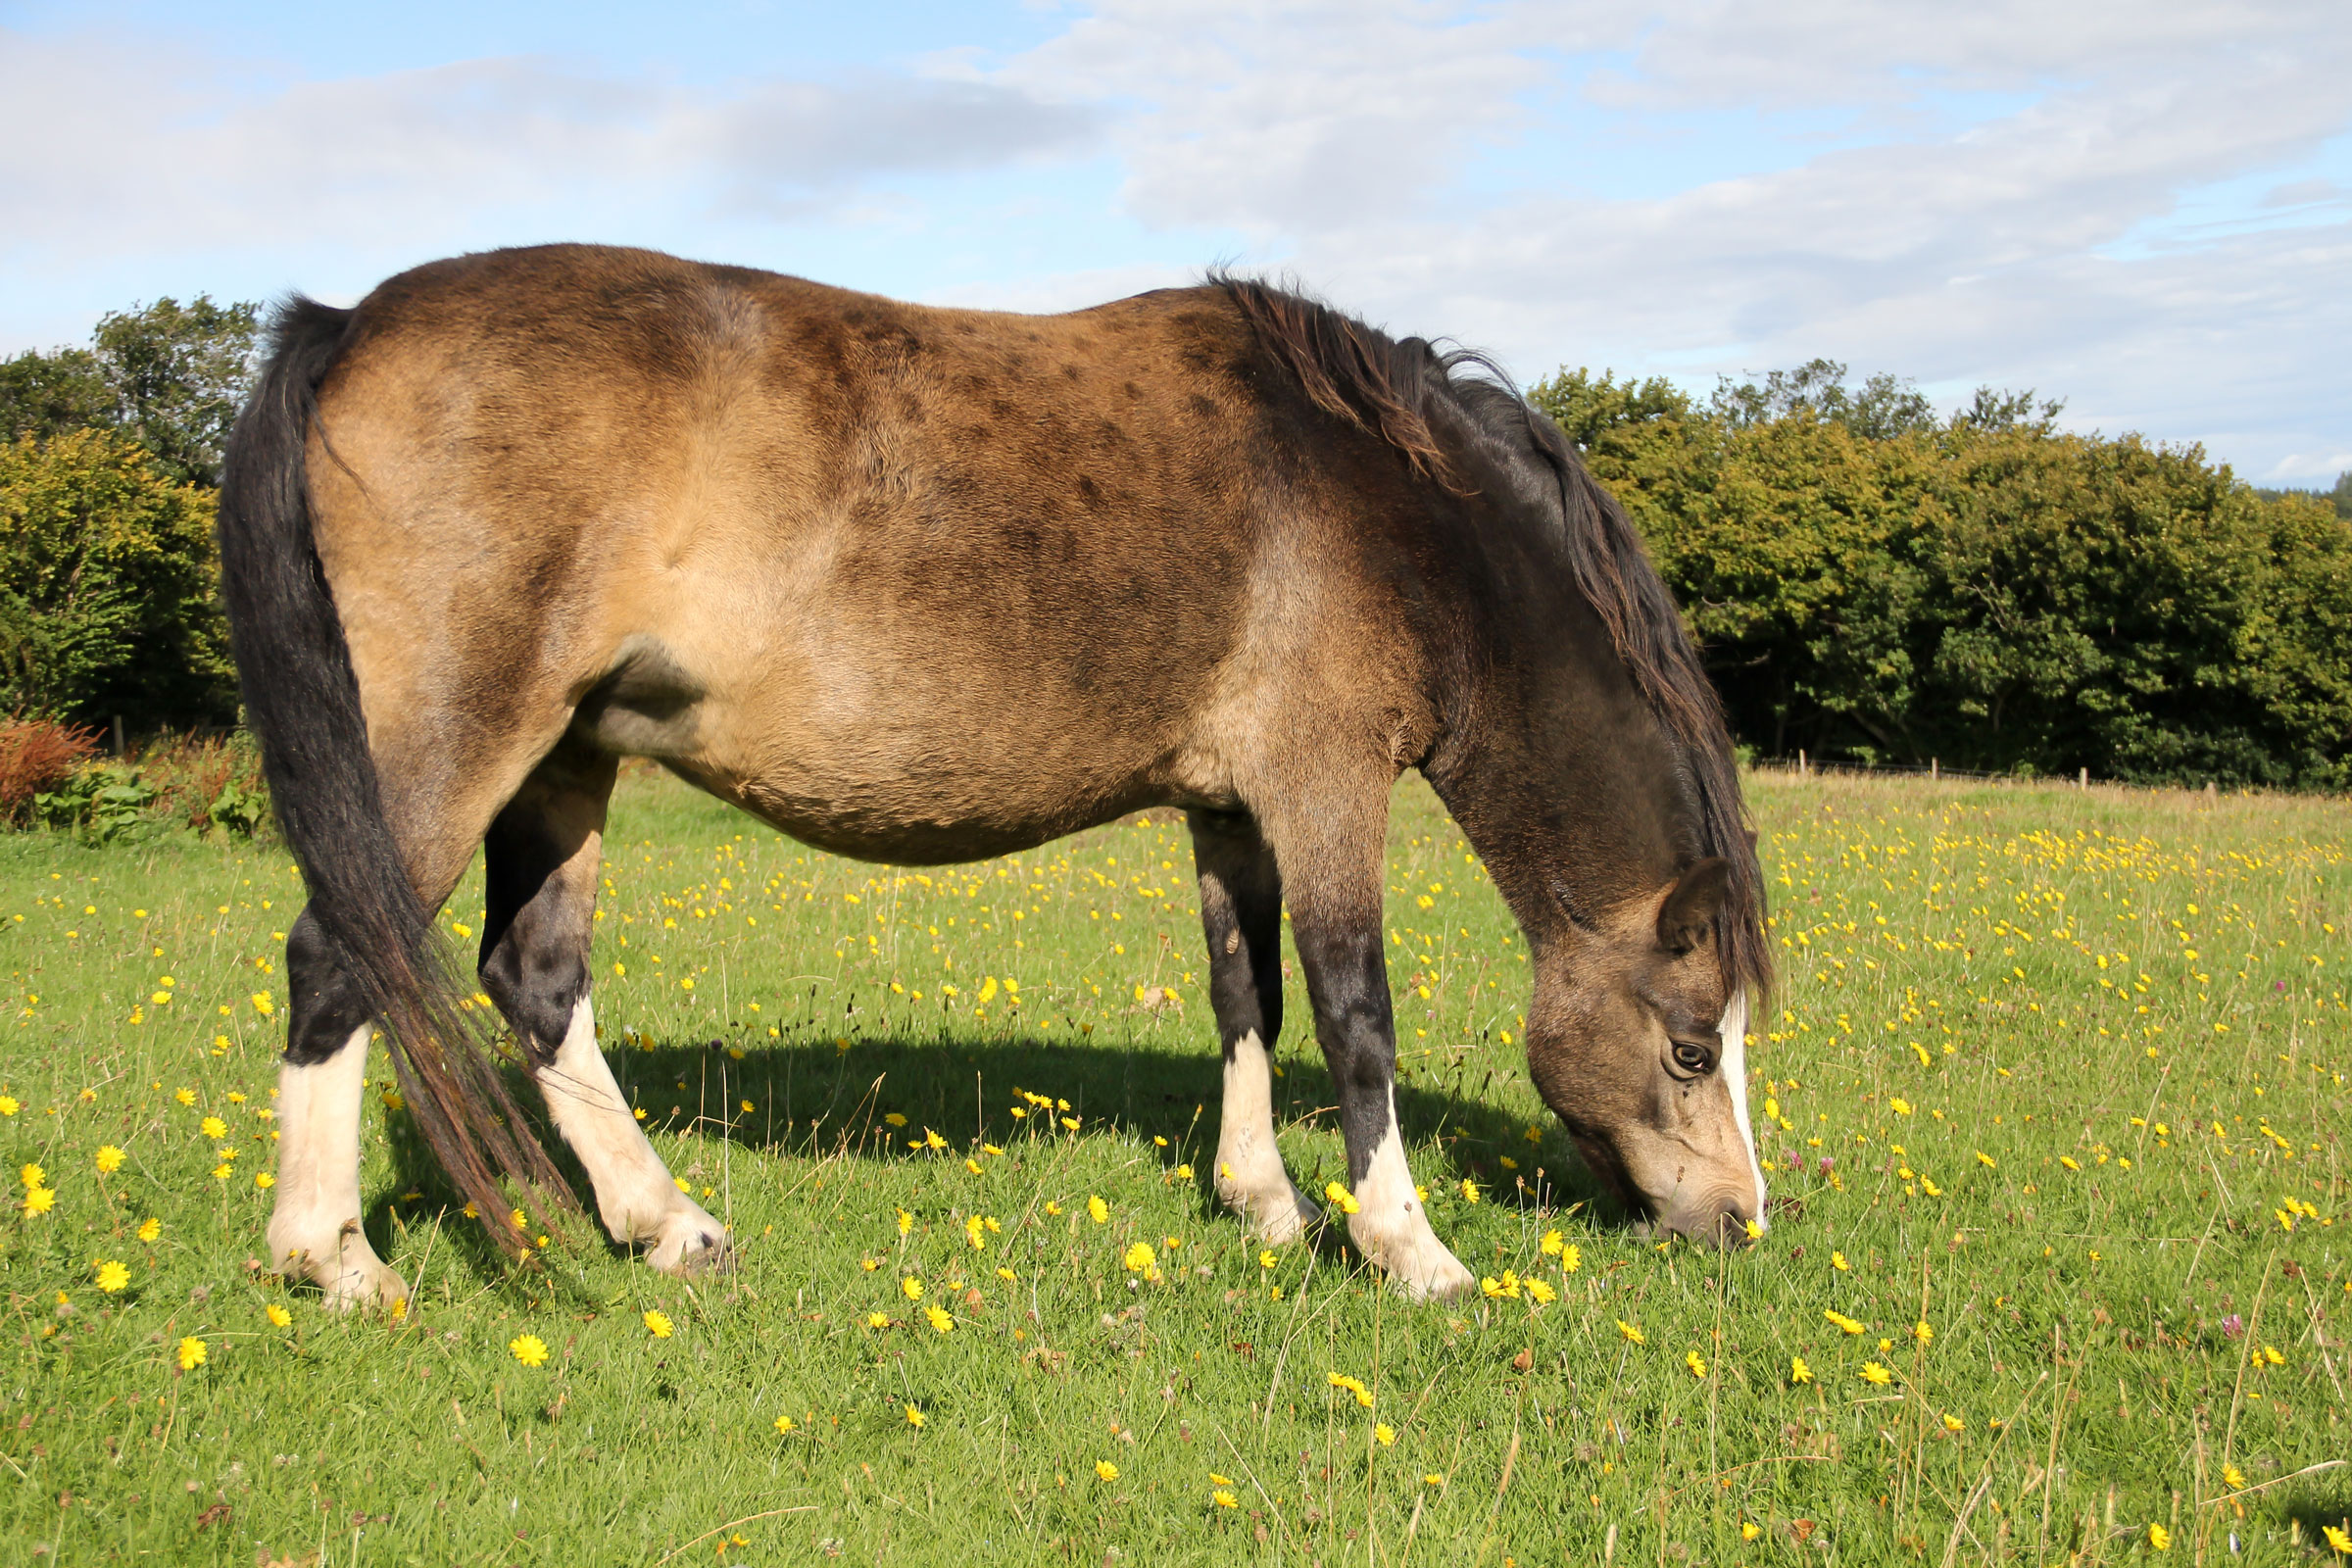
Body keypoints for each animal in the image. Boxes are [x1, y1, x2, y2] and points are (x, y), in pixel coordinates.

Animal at [217, 243, 1772, 1308]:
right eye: (1694, 1048)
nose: (1745, 1220)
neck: (1377, 500)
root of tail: (346, 326)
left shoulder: (1229, 806)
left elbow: (1248, 999)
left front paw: (1262, 1203)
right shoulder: (1325, 789)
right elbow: (1354, 1014)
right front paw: (1407, 1247)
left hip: (567, 760)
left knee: (534, 980)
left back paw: (666, 1221)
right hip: (458, 745)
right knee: (339, 956)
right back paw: (331, 1258)